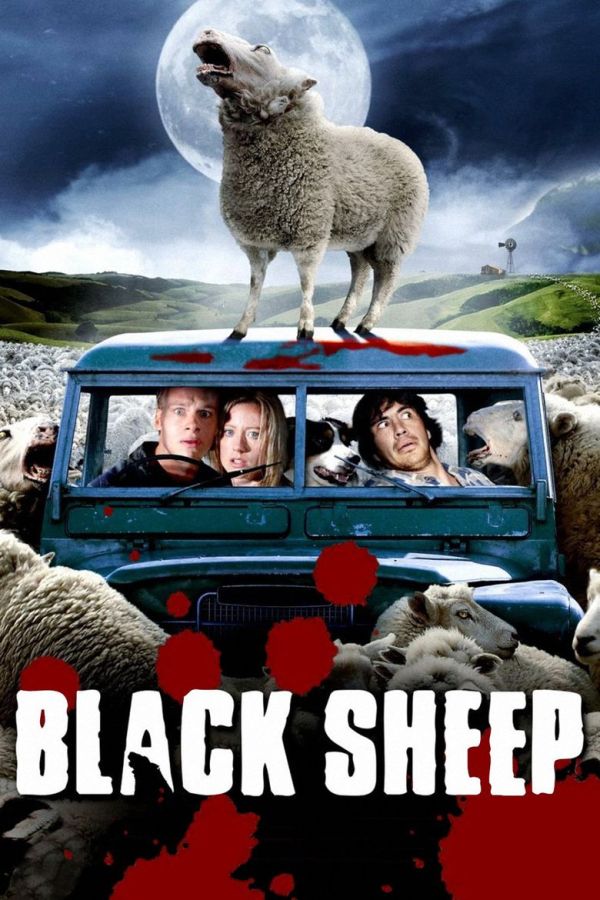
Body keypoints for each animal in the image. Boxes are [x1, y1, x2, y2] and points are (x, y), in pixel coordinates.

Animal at [193, 29, 428, 339]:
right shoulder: (253, 242)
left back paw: (366, 323)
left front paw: (305, 327)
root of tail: (403, 146)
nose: (206, 30)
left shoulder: (309, 231)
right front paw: (240, 328)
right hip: (359, 233)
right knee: (361, 272)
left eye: (263, 49)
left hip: (394, 234)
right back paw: (341, 320)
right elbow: (255, 283)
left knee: (386, 278)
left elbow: (306, 281)